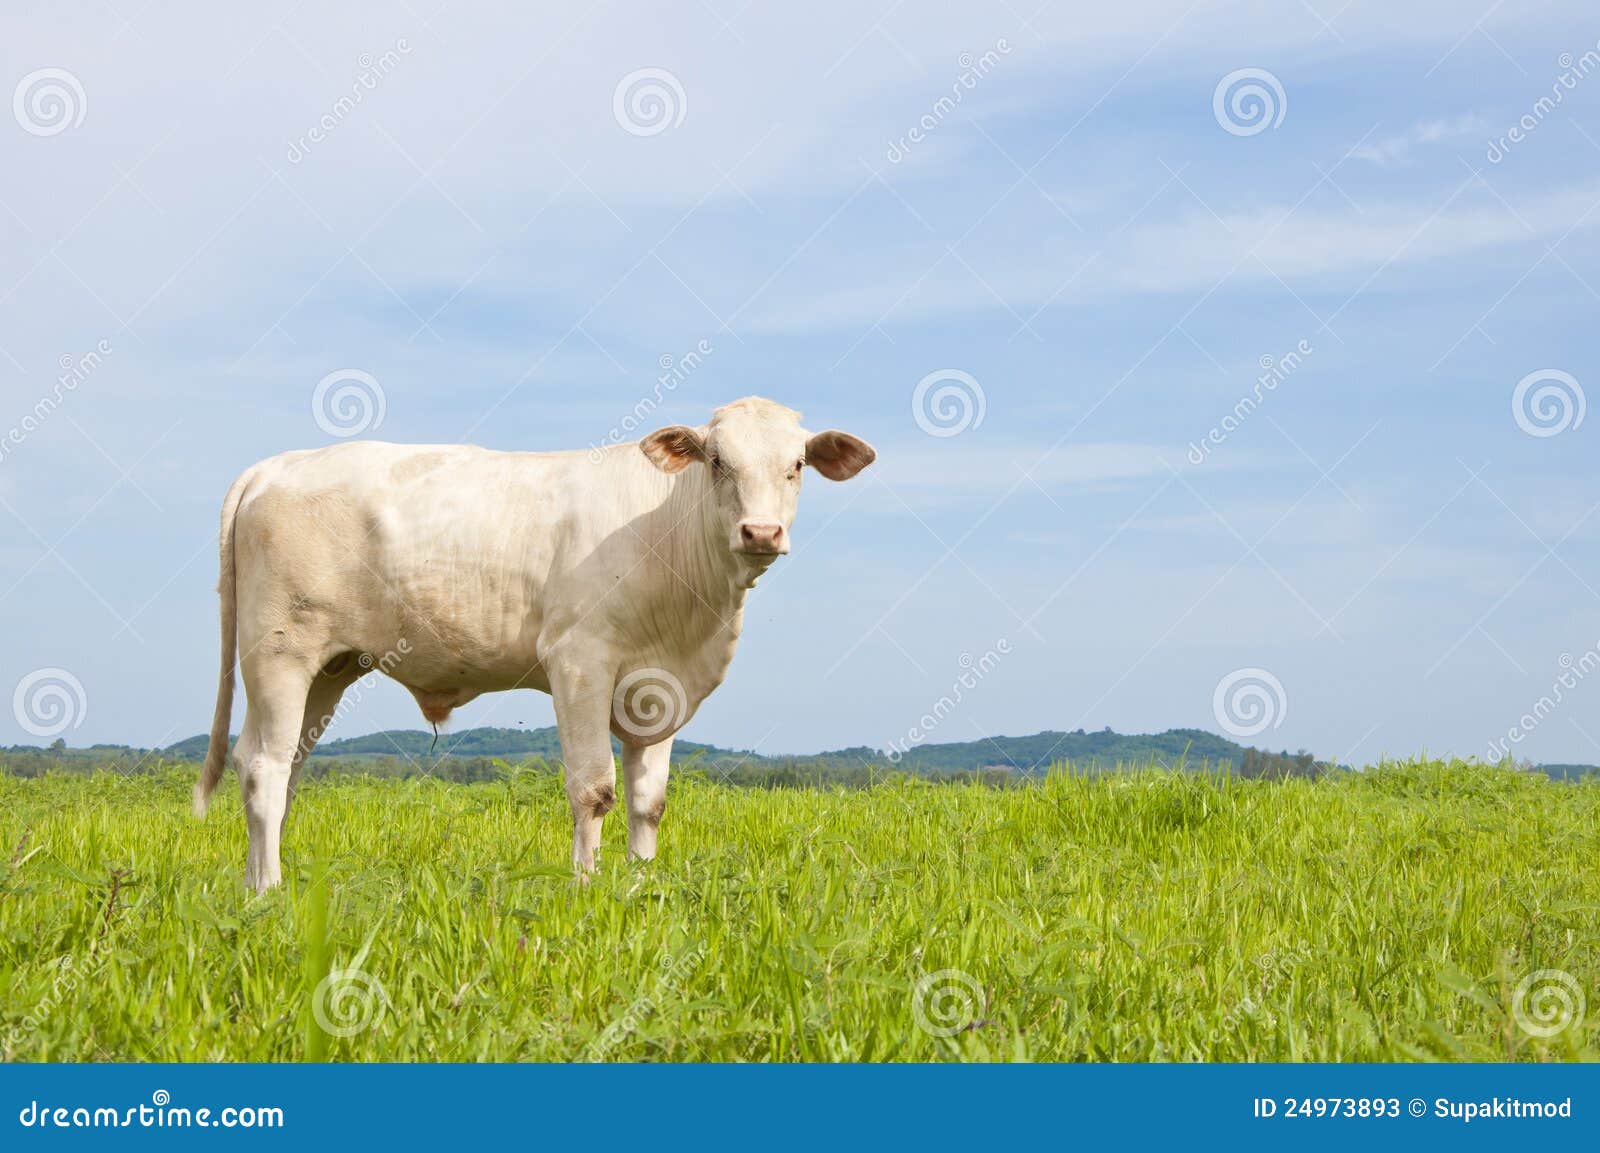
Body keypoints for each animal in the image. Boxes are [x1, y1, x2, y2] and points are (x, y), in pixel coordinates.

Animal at [192, 397, 876, 891]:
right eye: (716, 462)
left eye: (796, 466)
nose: (761, 532)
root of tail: (279, 464)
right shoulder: (580, 661)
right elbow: (593, 789)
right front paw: (584, 884)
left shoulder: (660, 684)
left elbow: (648, 800)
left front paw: (641, 880)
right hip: (280, 652)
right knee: (264, 767)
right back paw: (272, 890)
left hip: (328, 669)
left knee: (277, 768)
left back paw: (253, 882)